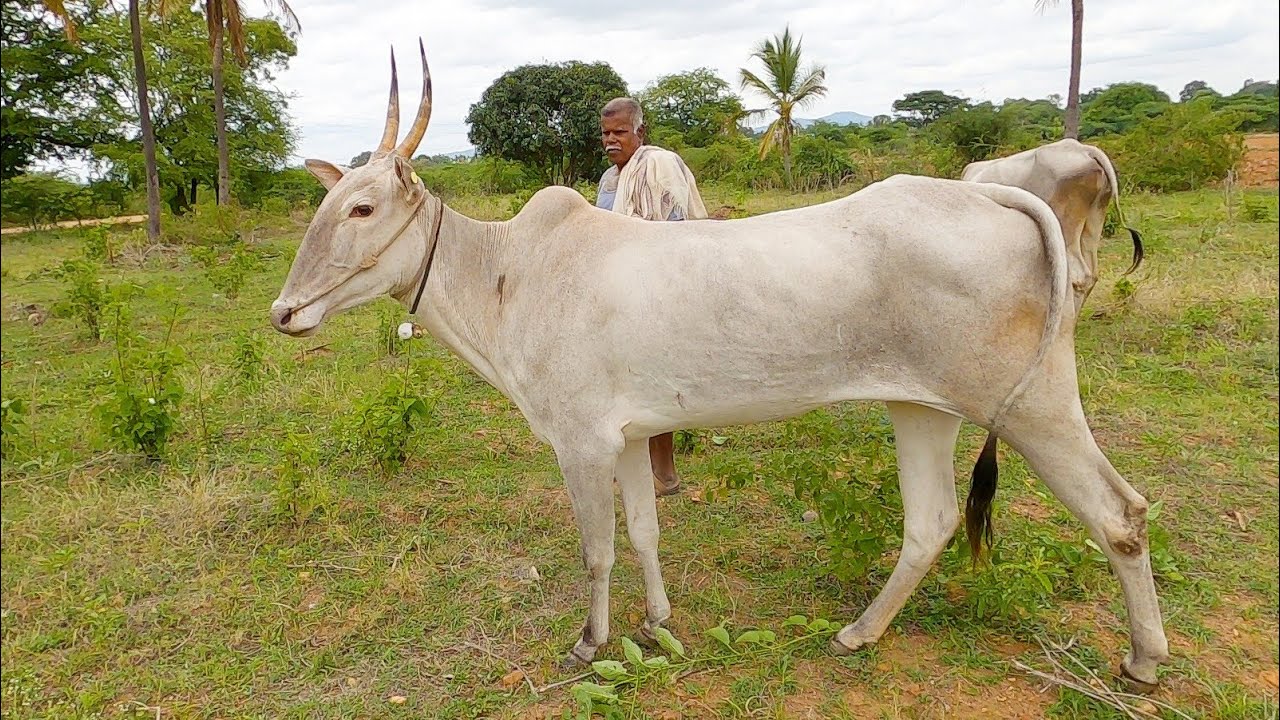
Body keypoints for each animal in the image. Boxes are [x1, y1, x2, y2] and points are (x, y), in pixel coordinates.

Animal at [268, 43, 1170, 688]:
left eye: (362, 207)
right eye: (324, 203)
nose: (284, 313)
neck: (508, 274)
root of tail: (991, 193)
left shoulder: (580, 444)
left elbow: (597, 550)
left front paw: (589, 642)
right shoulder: (630, 437)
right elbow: (643, 531)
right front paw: (659, 621)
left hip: (1031, 405)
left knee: (1120, 515)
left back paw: (1143, 660)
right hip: (924, 408)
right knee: (932, 523)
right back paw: (859, 632)